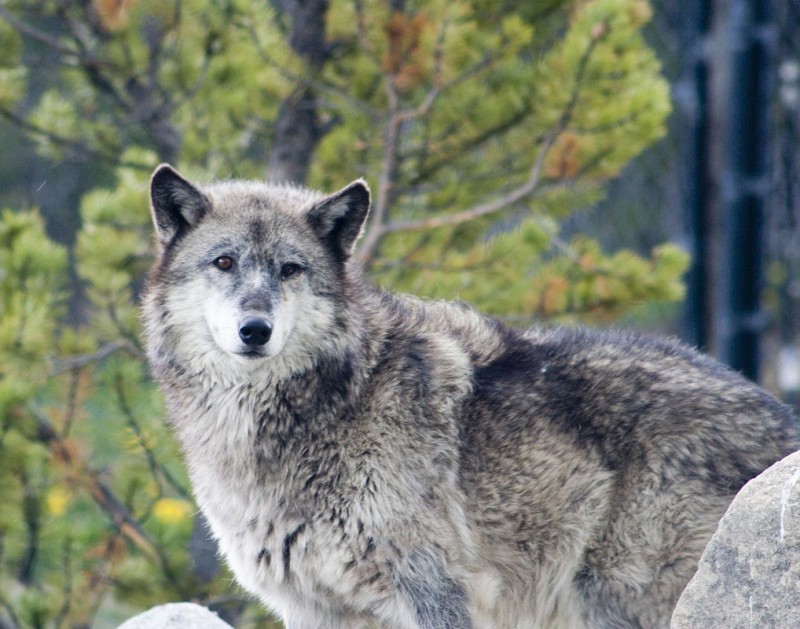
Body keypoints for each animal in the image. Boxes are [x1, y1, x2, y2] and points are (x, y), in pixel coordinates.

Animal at [142, 164, 798, 629]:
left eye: (289, 269)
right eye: (224, 262)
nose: (255, 330)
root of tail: (779, 419)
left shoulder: (436, 589)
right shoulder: (315, 608)